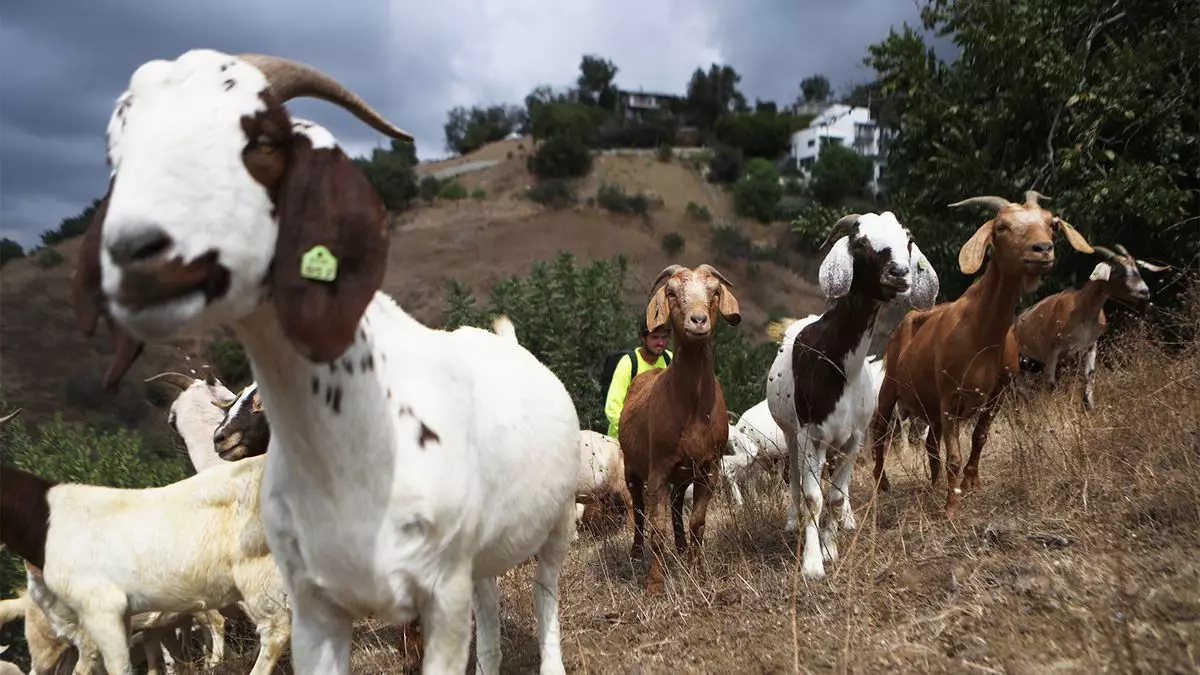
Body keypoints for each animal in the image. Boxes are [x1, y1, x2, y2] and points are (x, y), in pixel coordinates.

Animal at [72, 48, 583, 672]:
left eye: (264, 143)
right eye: (116, 155)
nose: (135, 254)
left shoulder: (439, 591)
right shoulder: (316, 606)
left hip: (557, 519)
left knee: (546, 592)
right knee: (489, 599)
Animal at [619, 263, 739, 593]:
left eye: (715, 291)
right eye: (671, 292)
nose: (697, 320)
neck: (693, 409)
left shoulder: (709, 468)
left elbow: (698, 523)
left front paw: (698, 573)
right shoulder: (658, 468)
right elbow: (657, 528)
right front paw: (654, 584)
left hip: (685, 472)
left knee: (675, 504)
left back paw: (683, 548)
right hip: (632, 468)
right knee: (638, 509)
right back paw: (636, 553)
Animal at [868, 190, 1094, 514]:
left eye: (1052, 224)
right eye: (1002, 226)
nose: (1042, 250)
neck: (982, 334)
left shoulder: (997, 392)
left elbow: (979, 438)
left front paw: (971, 482)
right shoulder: (950, 394)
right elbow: (954, 455)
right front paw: (952, 506)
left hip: (930, 405)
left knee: (930, 442)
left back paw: (934, 483)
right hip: (890, 387)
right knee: (880, 431)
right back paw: (882, 483)